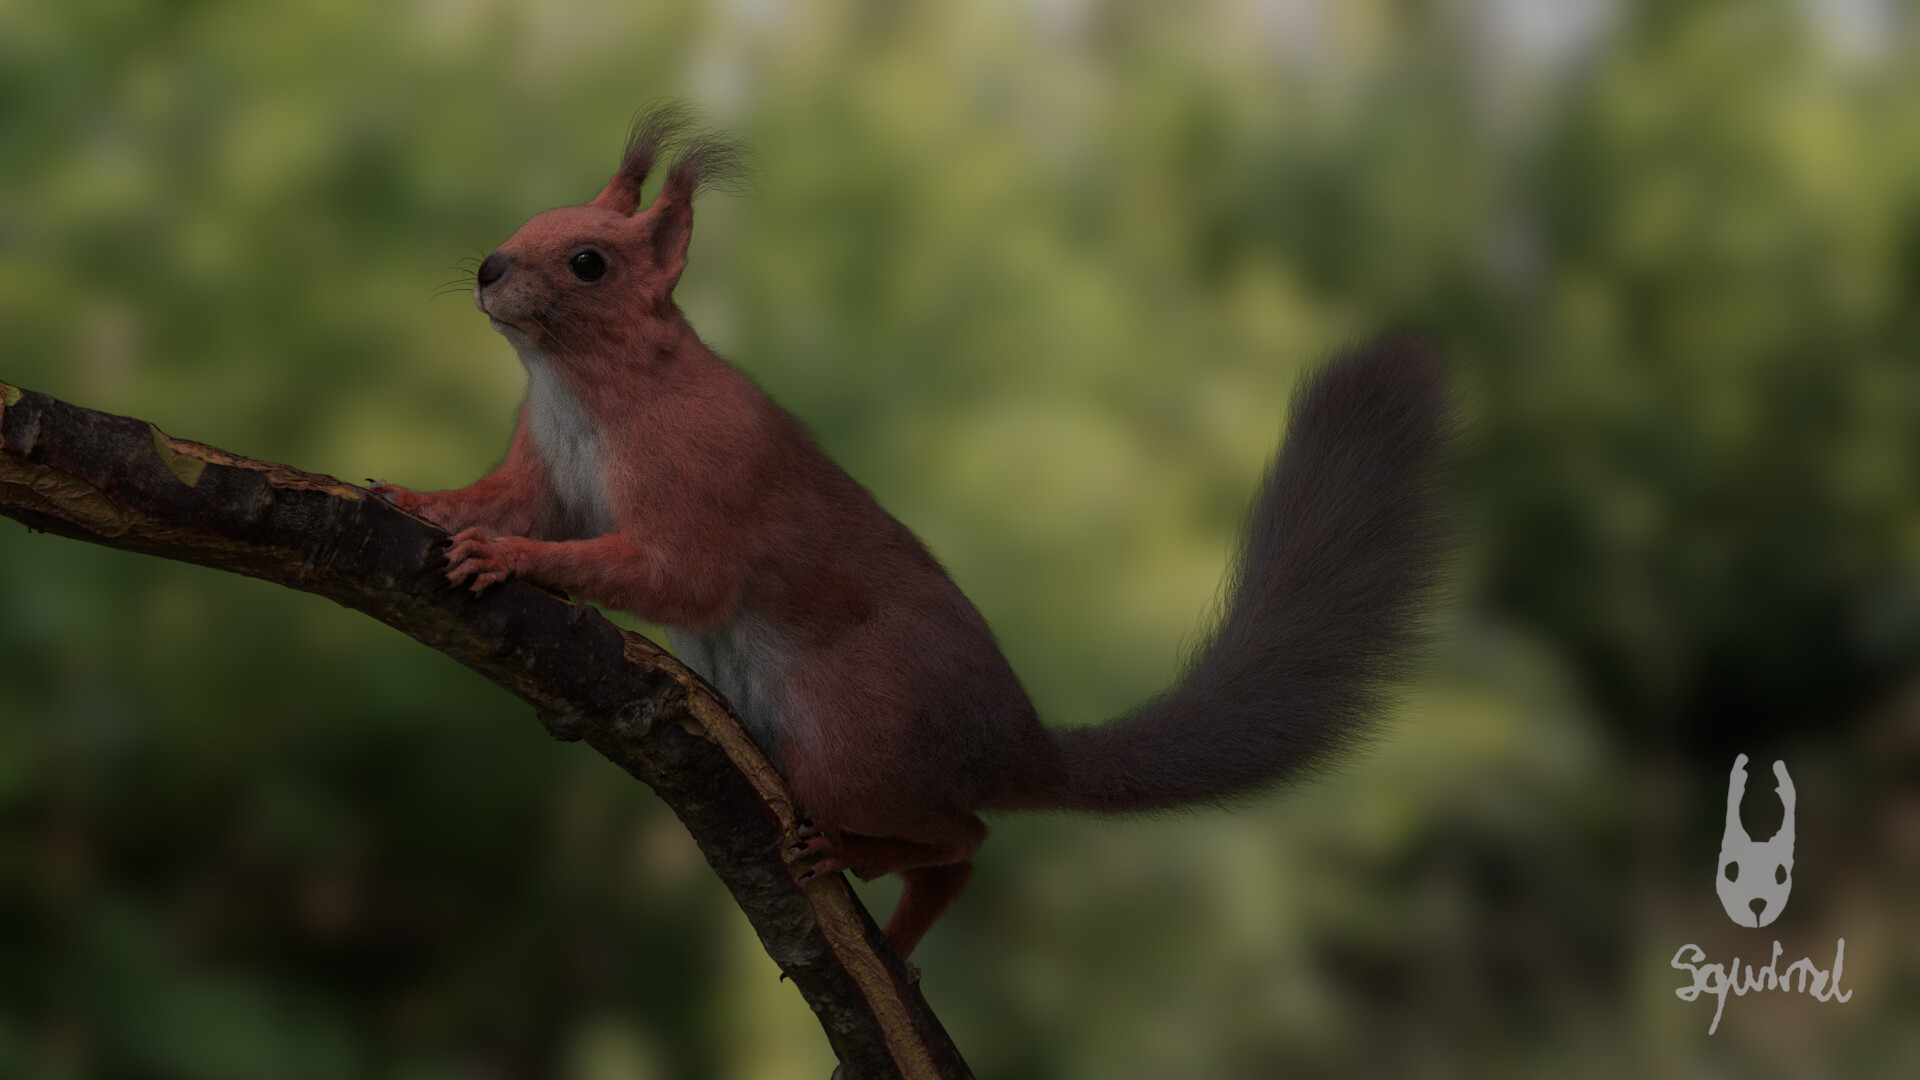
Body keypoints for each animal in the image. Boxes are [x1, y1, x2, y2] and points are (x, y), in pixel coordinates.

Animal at [372, 104, 1453, 958]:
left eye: (588, 262)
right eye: (531, 221)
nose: (488, 268)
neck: (584, 390)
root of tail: (1020, 746)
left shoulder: (701, 491)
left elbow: (664, 575)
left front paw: (511, 560)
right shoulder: (543, 470)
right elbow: (501, 500)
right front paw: (416, 500)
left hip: (848, 742)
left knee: (964, 837)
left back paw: (850, 857)